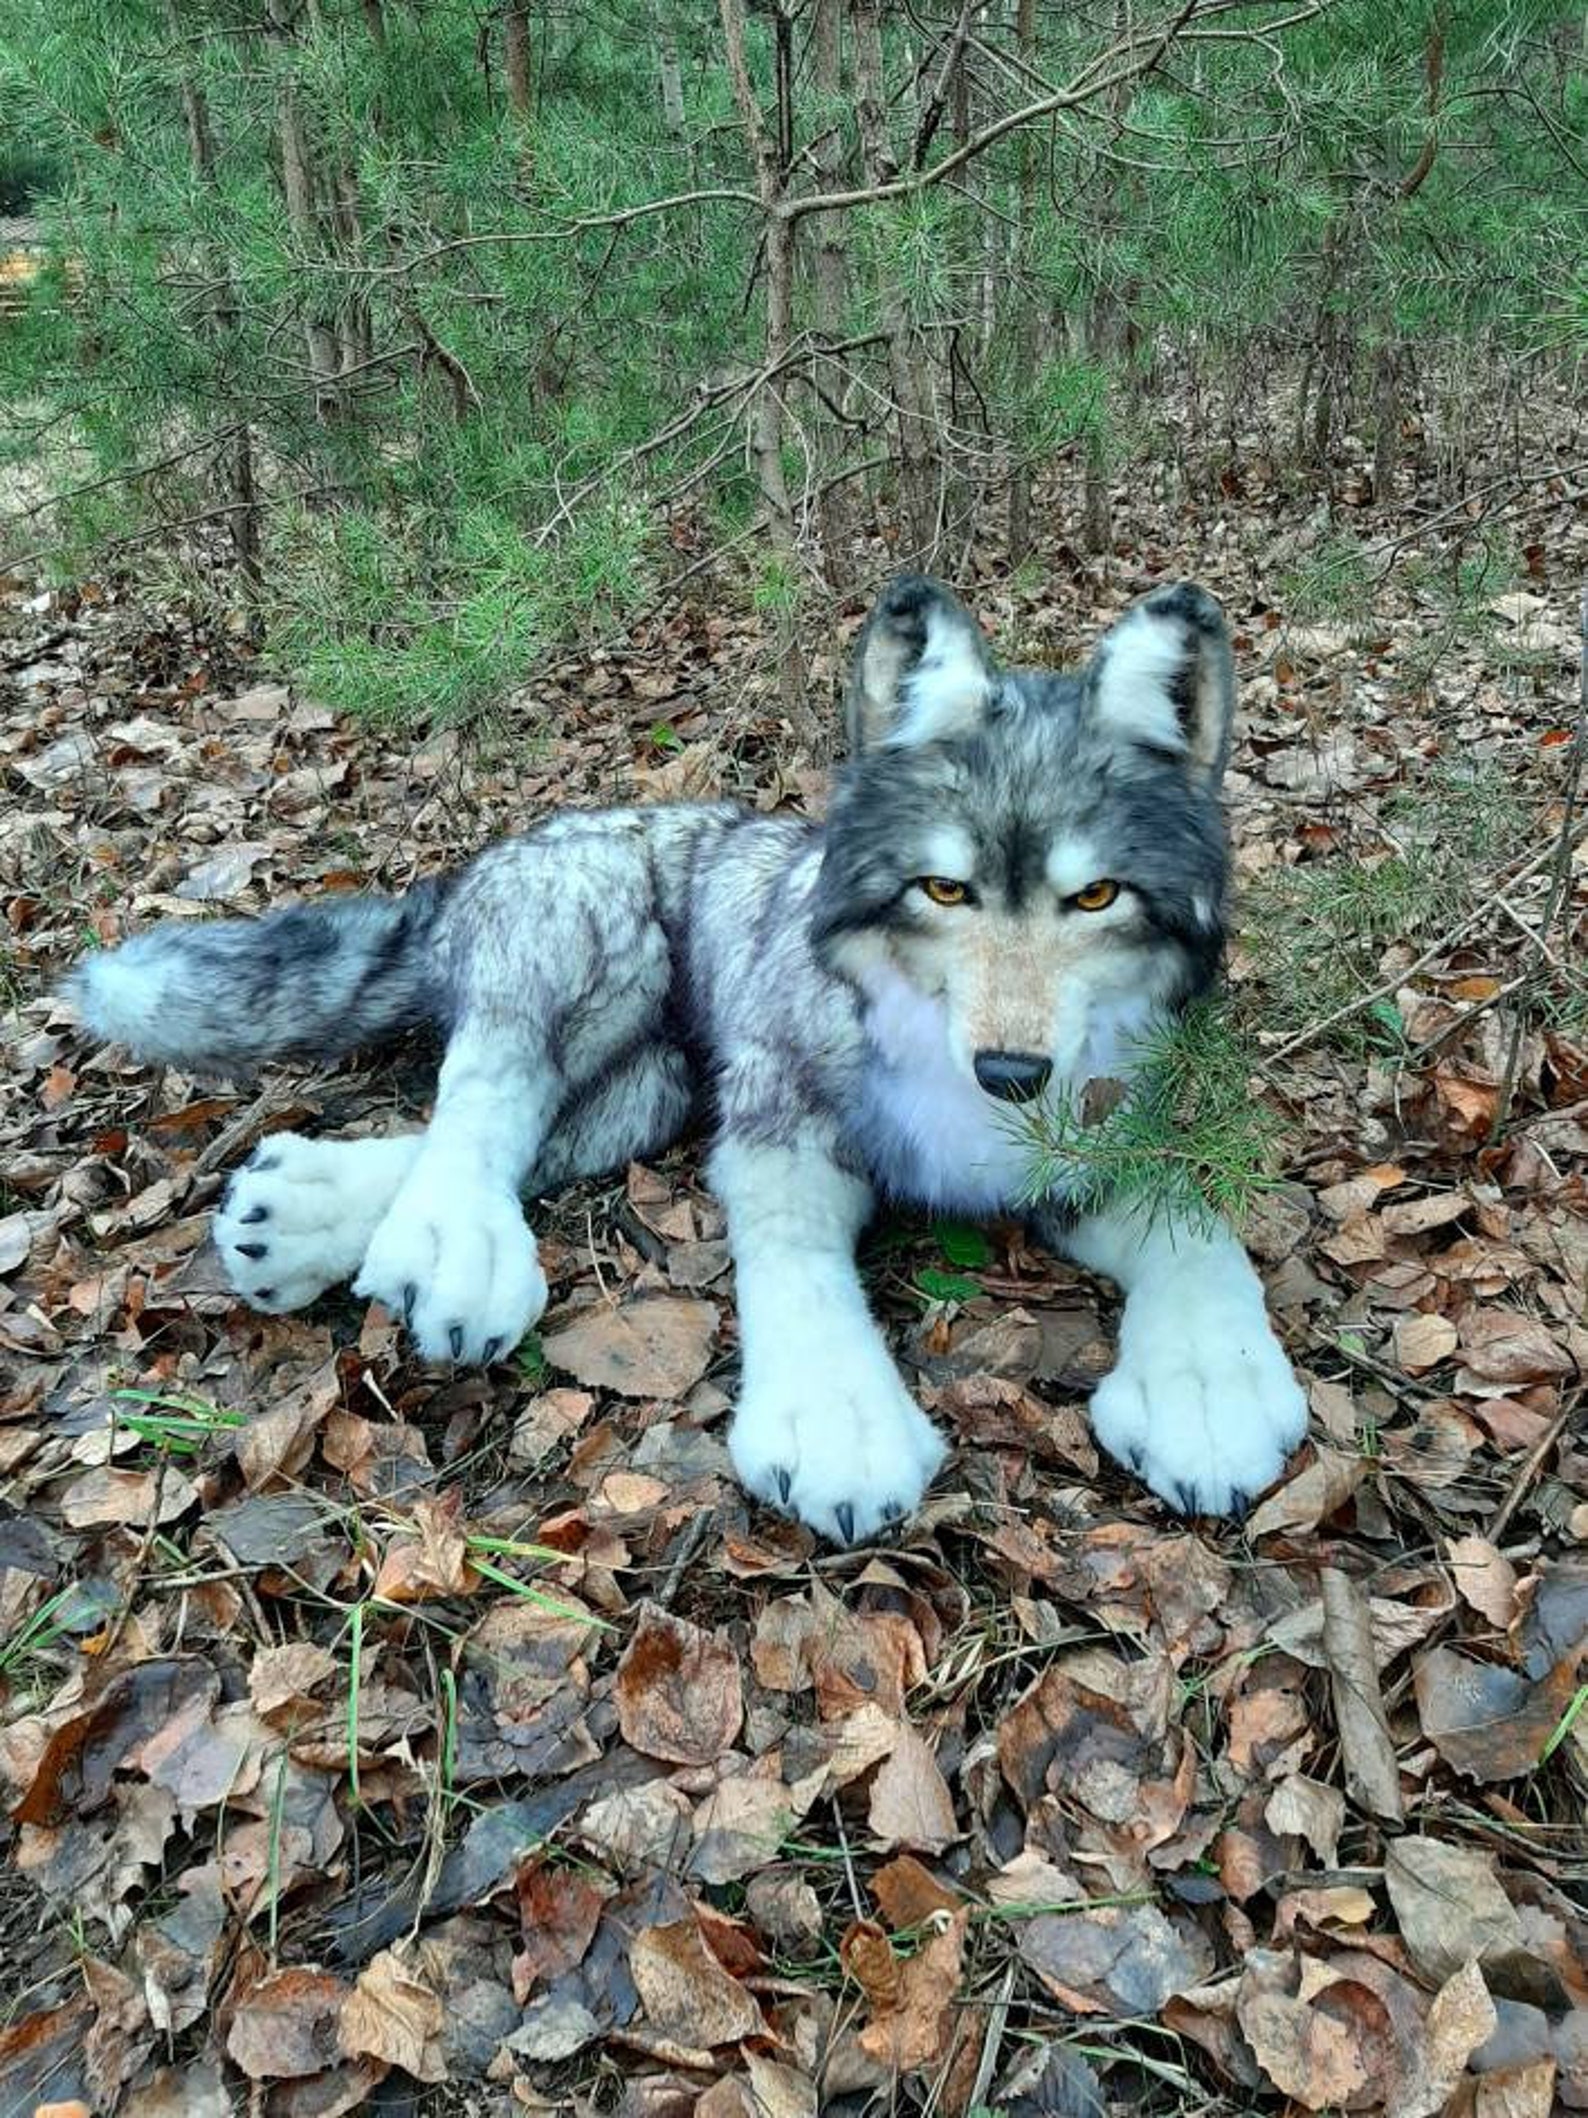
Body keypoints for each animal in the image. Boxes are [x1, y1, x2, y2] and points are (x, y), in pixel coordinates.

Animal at [71, 577, 1307, 1542]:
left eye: (1096, 897)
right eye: (943, 890)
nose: (1009, 1077)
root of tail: (466, 872)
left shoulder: (1100, 1146)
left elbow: (1199, 1227)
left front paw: (1206, 1386)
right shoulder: (777, 1133)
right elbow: (797, 1267)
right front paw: (838, 1417)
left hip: (647, 1088)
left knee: (486, 1137)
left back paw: (298, 1207)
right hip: (596, 940)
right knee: (481, 1097)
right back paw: (453, 1245)